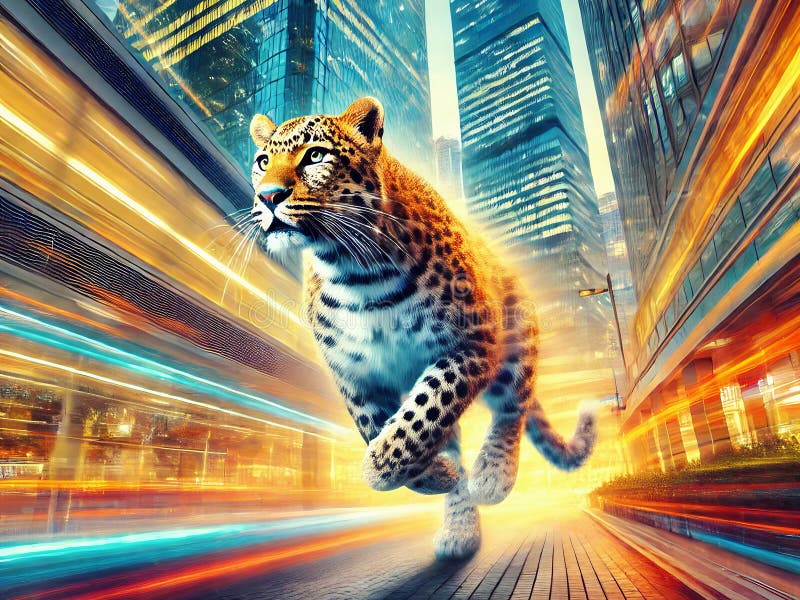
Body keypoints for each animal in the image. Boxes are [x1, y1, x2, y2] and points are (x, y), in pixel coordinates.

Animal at [246, 97, 597, 559]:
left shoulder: (472, 342)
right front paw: (435, 475)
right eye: (262, 161)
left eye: (316, 155)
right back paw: (458, 518)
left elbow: (424, 413)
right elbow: (380, 427)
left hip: (516, 336)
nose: (268, 196)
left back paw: (493, 476)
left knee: (513, 407)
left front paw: (381, 470)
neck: (353, 270)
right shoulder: (354, 374)